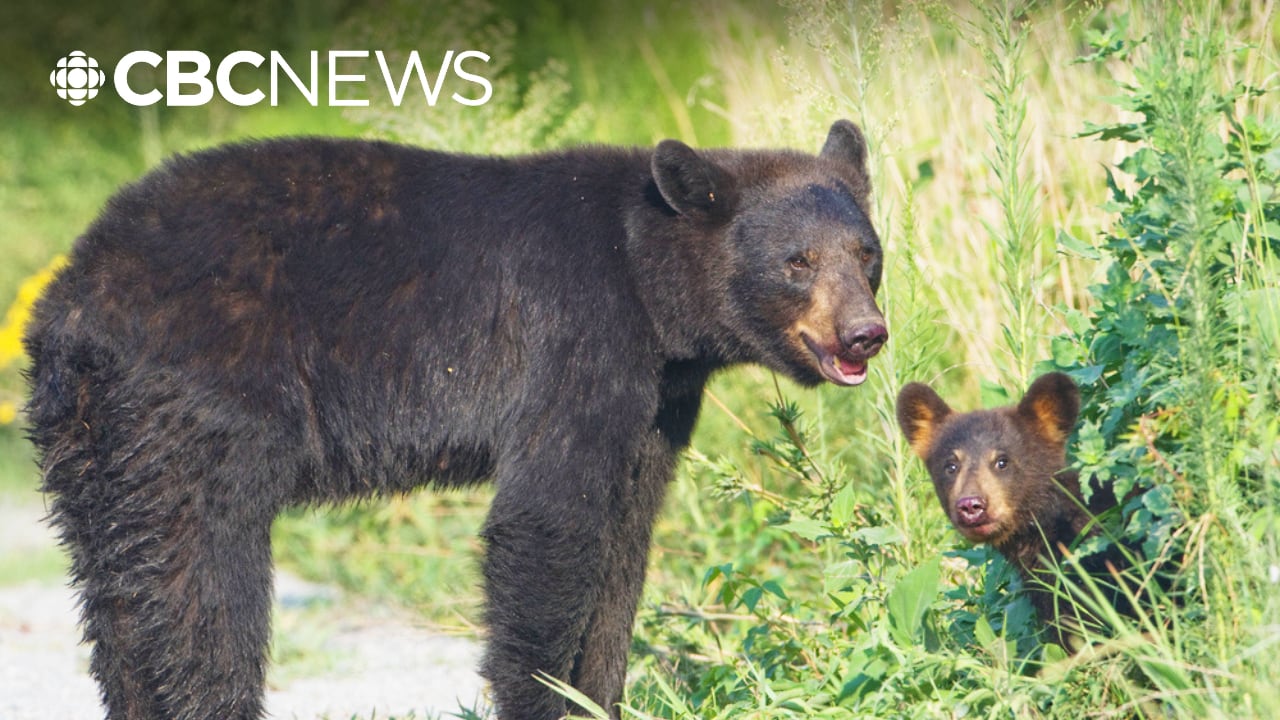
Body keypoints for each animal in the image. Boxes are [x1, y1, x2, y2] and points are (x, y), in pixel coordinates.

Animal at [23, 120, 888, 720]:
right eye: (798, 261)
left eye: (866, 252)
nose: (865, 334)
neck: (648, 282)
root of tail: (74, 298)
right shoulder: (576, 340)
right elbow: (547, 523)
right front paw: (543, 699)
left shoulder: (656, 401)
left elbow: (624, 543)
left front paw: (598, 694)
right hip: (200, 405)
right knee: (201, 583)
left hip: (93, 440)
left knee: (120, 590)